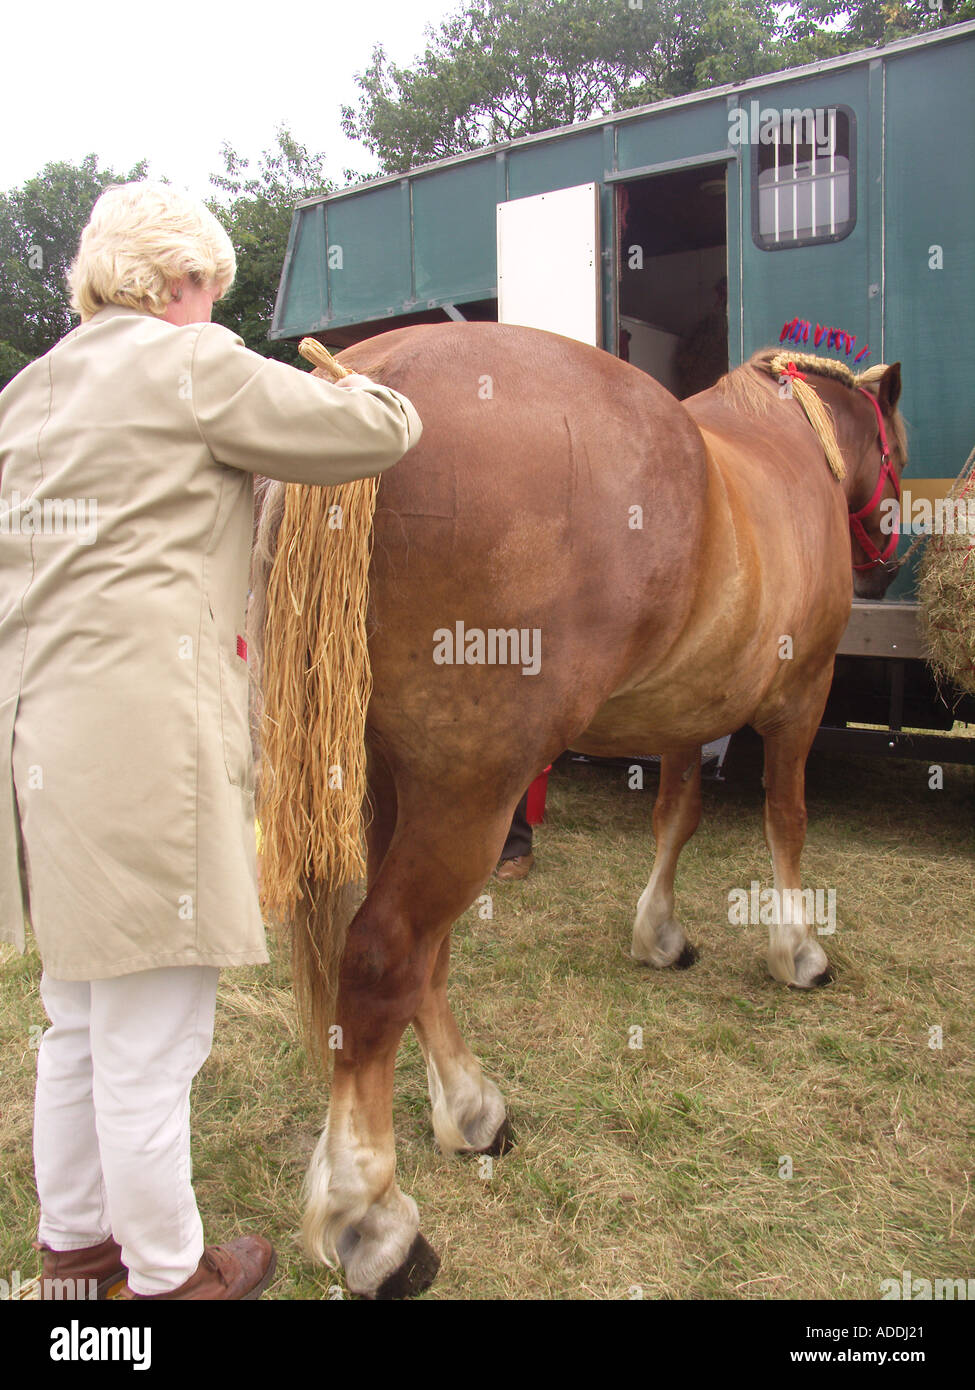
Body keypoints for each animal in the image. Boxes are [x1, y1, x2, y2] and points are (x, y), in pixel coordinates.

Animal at [250, 324, 906, 1298]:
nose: (889, 554)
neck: (784, 451)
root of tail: (364, 374)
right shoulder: (800, 699)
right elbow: (784, 819)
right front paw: (796, 950)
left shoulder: (687, 715)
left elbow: (676, 814)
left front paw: (659, 935)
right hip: (471, 789)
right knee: (384, 957)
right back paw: (374, 1220)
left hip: (388, 782)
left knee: (422, 962)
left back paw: (472, 1111)